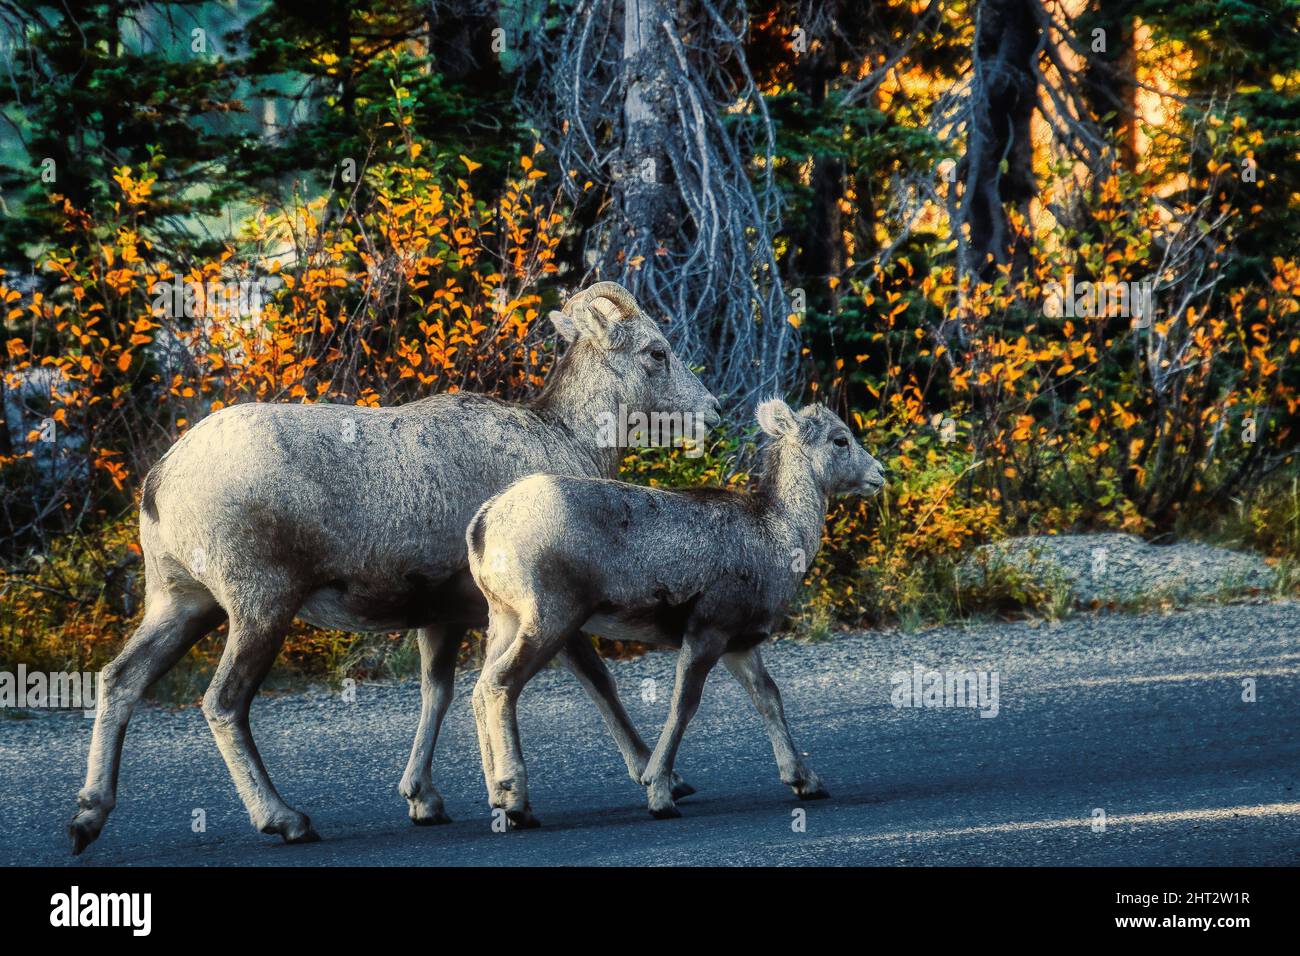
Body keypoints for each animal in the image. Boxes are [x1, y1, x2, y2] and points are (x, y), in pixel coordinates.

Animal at [69, 282, 720, 853]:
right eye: (656, 352)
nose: (712, 411)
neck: (566, 441)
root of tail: (161, 479)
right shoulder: (549, 603)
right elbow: (597, 682)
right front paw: (663, 779)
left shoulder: (443, 616)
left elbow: (438, 692)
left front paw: (424, 801)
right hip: (259, 608)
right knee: (224, 703)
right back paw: (287, 821)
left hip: (183, 604)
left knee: (120, 679)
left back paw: (86, 820)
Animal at [467, 398, 886, 825]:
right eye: (840, 439)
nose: (879, 474)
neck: (777, 534)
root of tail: (486, 523)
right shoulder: (707, 632)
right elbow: (684, 703)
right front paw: (660, 795)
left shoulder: (739, 645)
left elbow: (767, 696)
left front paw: (805, 781)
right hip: (551, 619)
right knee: (500, 684)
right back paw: (516, 802)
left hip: (505, 618)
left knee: (481, 690)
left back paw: (500, 799)